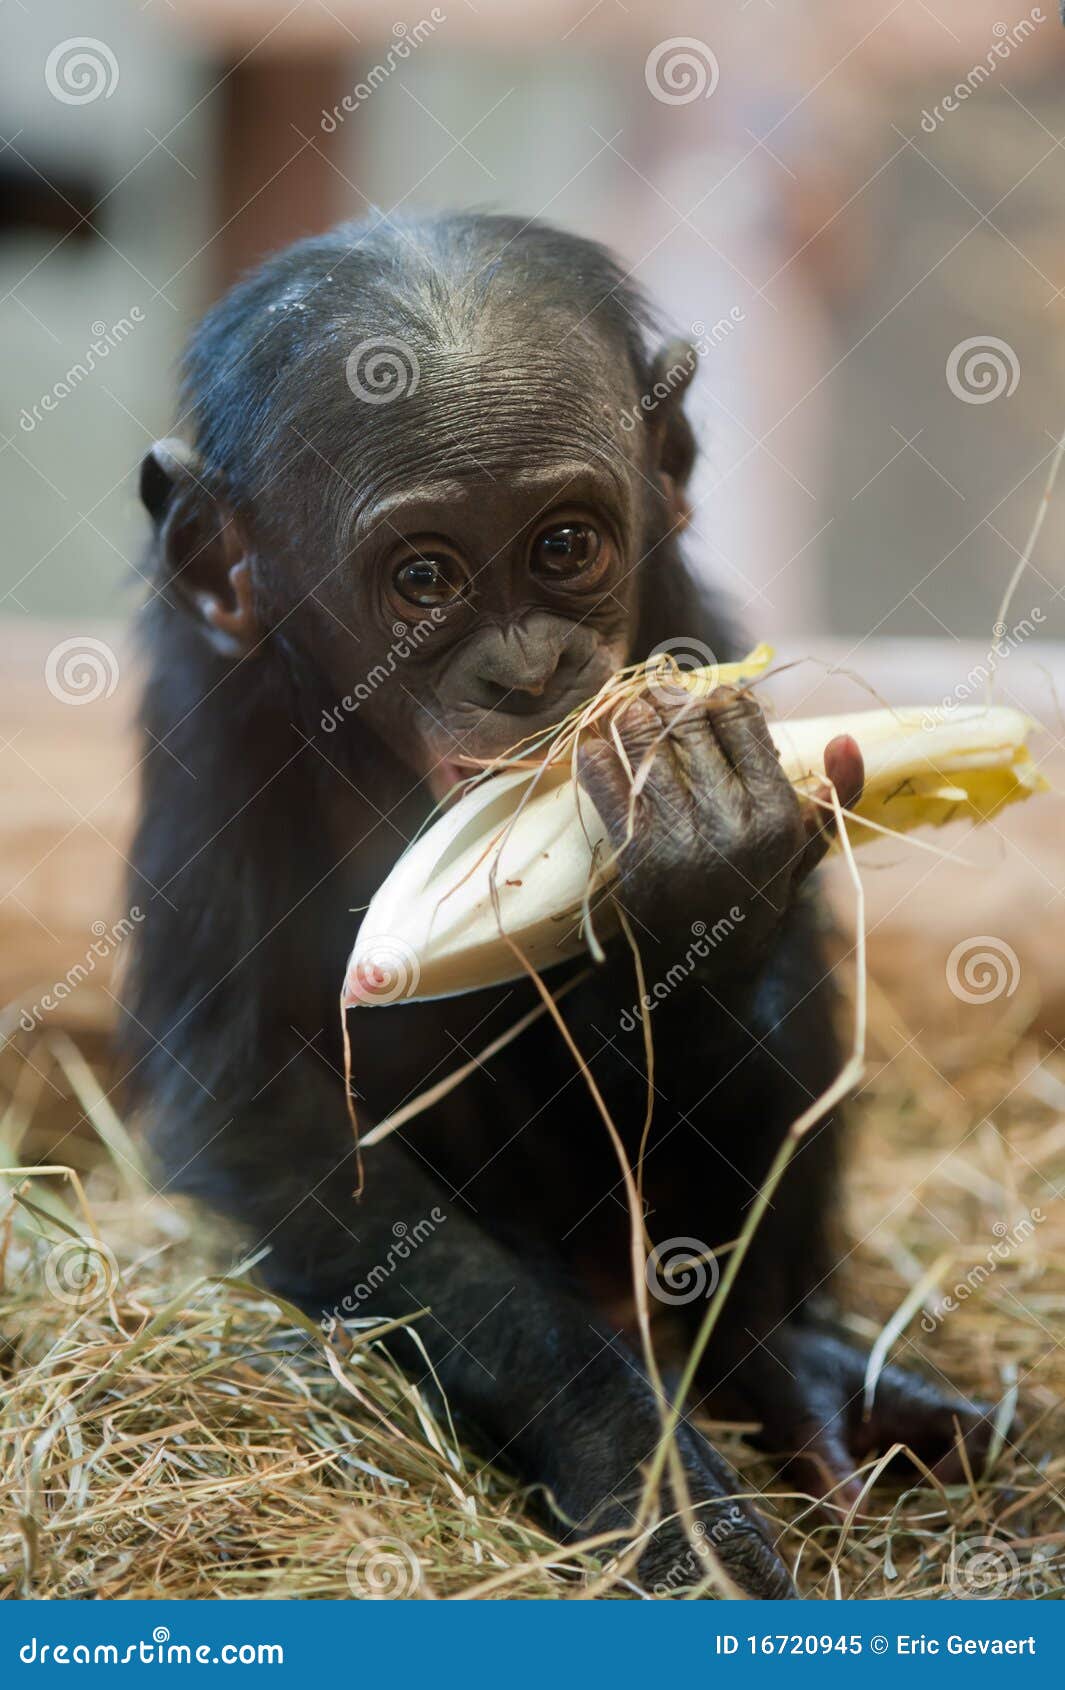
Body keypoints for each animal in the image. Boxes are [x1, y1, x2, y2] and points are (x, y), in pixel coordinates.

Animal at [123, 212, 993, 1598]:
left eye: (565, 546)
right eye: (425, 576)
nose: (528, 671)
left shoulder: (687, 625)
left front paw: (704, 837)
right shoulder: (205, 722)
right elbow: (266, 1104)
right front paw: (644, 1470)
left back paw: (794, 1366)